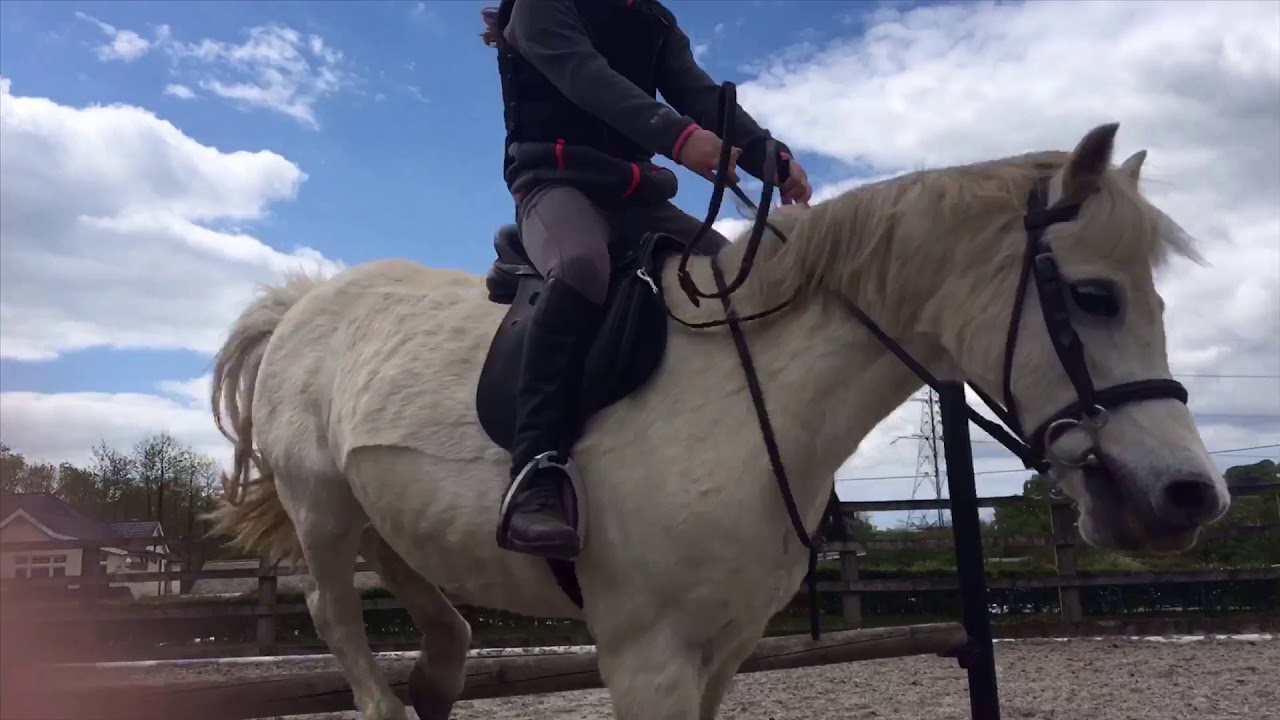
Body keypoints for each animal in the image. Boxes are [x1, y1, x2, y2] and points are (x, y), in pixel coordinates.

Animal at [206, 123, 1229, 720]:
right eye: (1093, 298)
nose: (1188, 497)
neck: (752, 399)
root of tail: (302, 303)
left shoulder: (723, 647)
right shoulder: (646, 654)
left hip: (382, 509)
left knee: (429, 611)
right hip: (322, 507)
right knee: (332, 611)